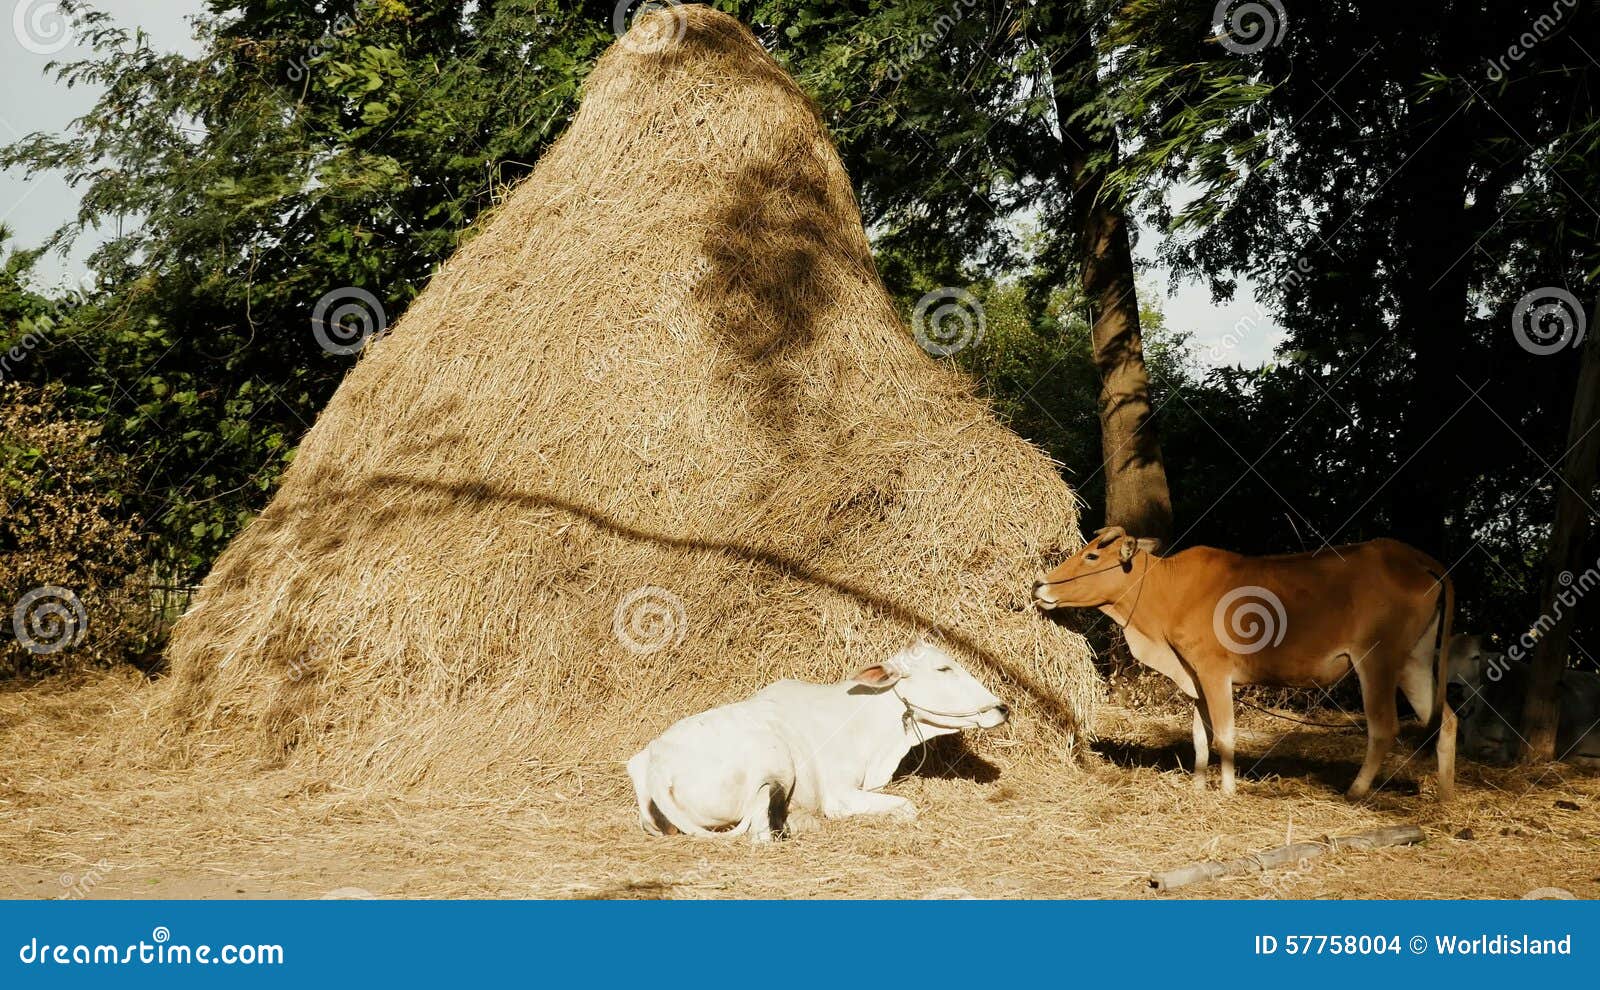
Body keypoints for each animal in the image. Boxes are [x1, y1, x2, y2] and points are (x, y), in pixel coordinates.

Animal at [626, 641, 1010, 843]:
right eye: (944, 669)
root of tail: (659, 765)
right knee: (761, 831)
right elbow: (906, 808)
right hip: (775, 758)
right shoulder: (839, 795)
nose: (1002, 708)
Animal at [1032, 529, 1457, 801]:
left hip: (1377, 661)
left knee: (1384, 727)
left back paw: (1356, 791)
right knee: (1447, 720)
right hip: (1415, 662)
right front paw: (1198, 785)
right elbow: (1200, 737)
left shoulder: (1214, 672)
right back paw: (1445, 795)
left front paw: (1227, 789)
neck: (1168, 590)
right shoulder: (1193, 677)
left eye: (1091, 555)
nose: (1040, 585)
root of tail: (1411, 556)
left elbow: (1223, 734)